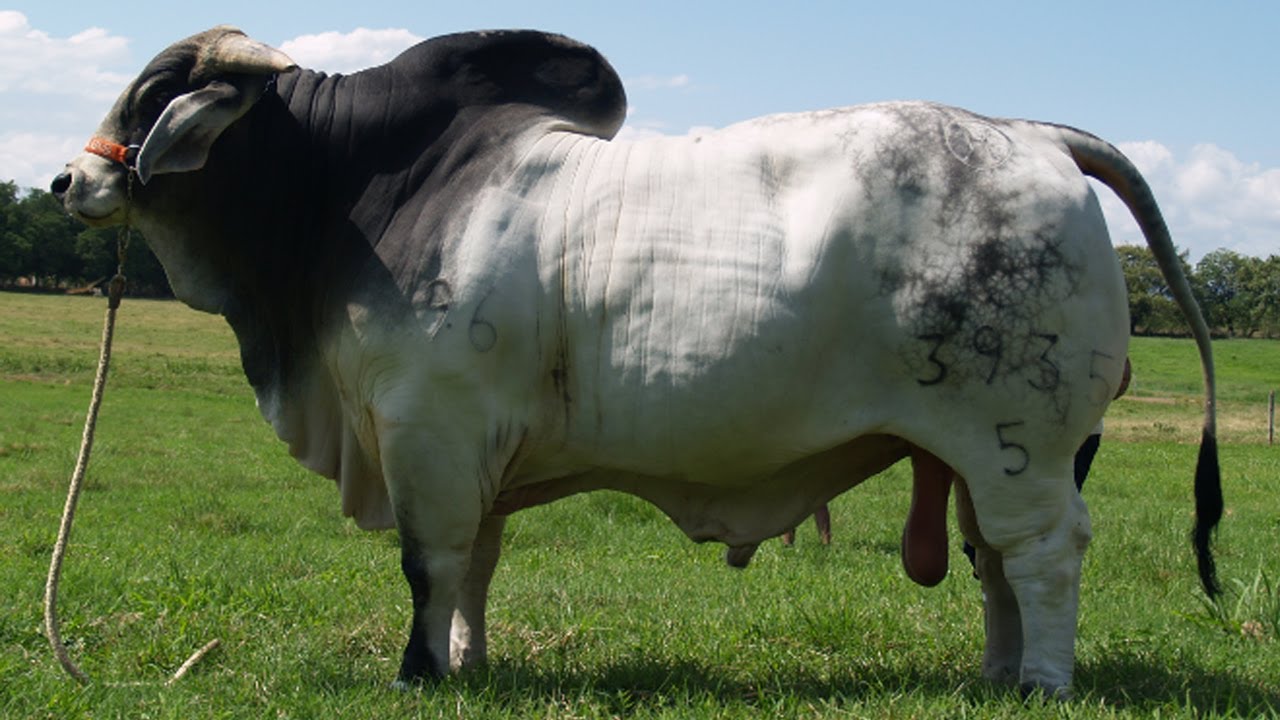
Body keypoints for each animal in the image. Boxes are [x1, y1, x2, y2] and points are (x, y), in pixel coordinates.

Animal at [52, 26, 1221, 697]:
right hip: (986, 454)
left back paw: (1043, 683)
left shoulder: (426, 431)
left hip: (1021, 441)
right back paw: (994, 673)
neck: (350, 190)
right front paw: (470, 662)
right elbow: (476, 565)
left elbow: (429, 564)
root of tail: (1039, 137)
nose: (69, 183)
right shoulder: (471, 454)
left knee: (1043, 555)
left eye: (152, 98)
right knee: (994, 561)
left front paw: (420, 672)